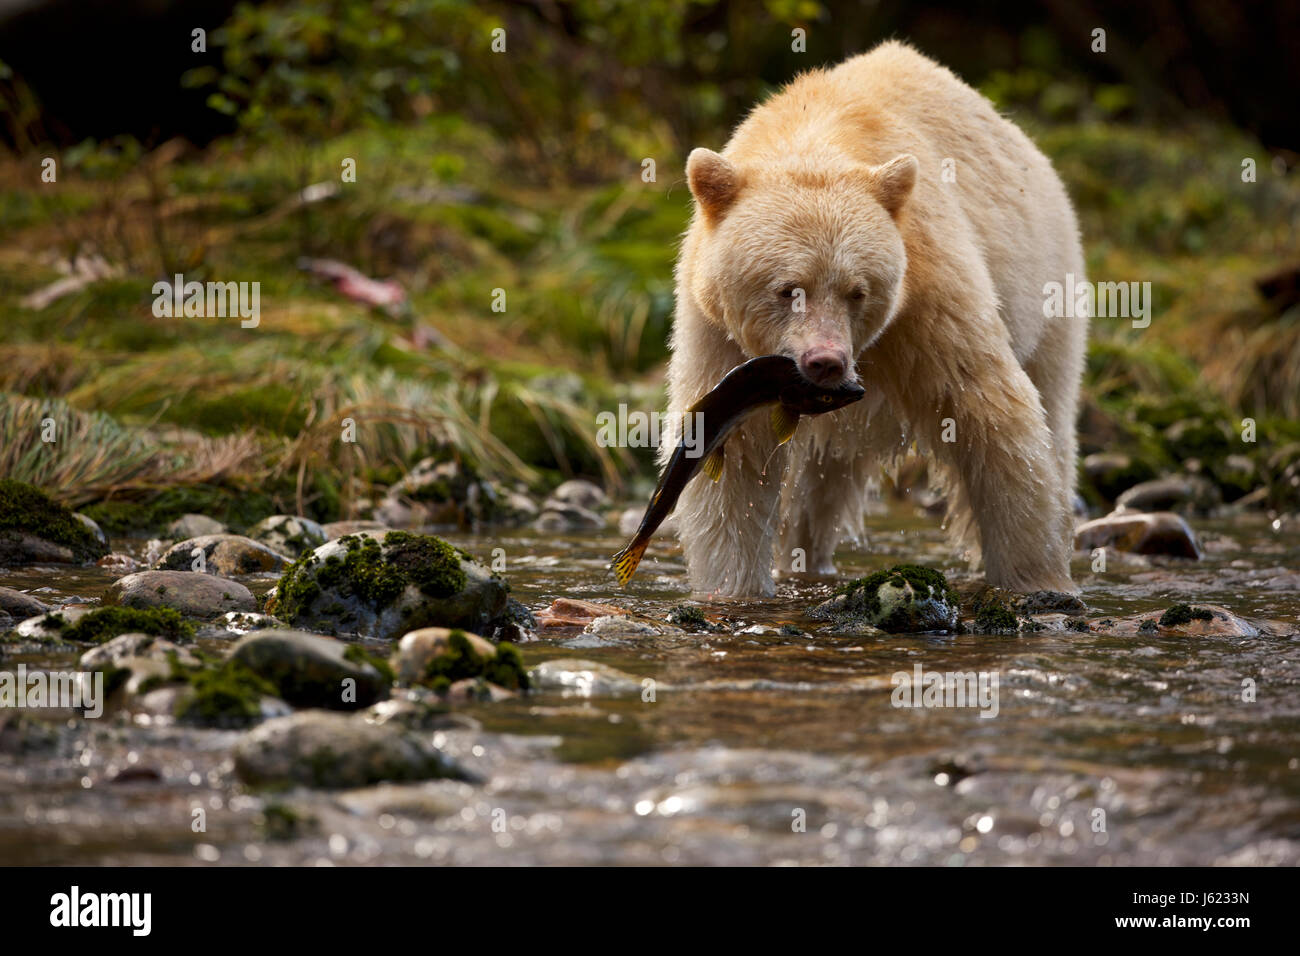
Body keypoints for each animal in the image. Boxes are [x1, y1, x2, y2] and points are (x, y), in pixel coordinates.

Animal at [663, 40, 1088, 598]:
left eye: (857, 291)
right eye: (788, 289)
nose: (825, 361)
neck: (814, 132)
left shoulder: (930, 295)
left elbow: (991, 416)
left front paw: (1036, 579)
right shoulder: (719, 335)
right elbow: (734, 455)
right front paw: (734, 587)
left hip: (1050, 293)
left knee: (1053, 415)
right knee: (820, 488)